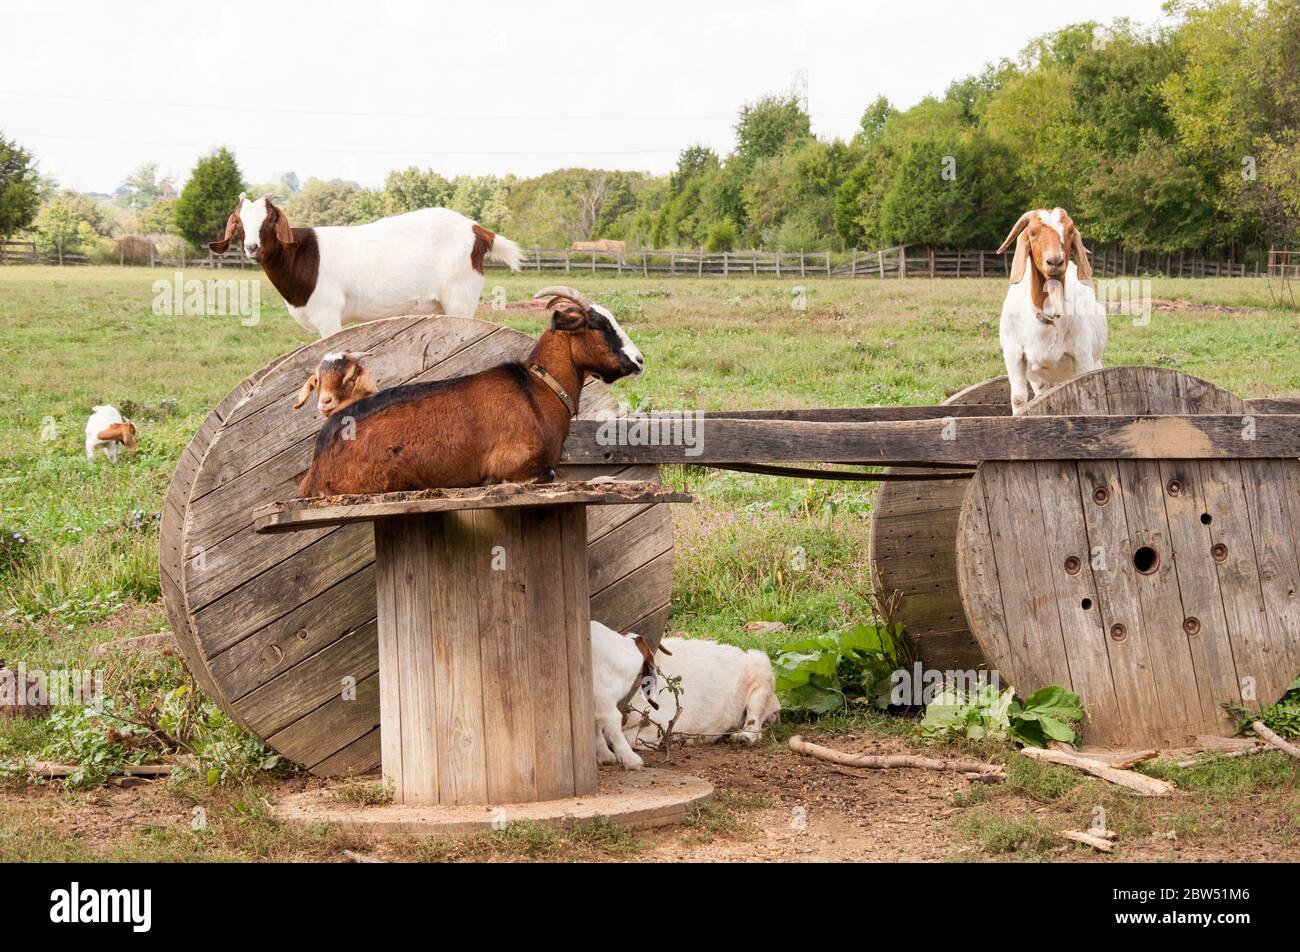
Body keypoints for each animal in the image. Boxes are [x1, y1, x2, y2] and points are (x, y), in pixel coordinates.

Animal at [208, 194, 524, 339]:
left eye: (271, 219)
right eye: (238, 223)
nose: (252, 247)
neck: (299, 256)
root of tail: (479, 230)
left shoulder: (328, 314)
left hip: (460, 296)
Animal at [296, 286, 643, 496]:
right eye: (598, 325)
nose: (638, 361)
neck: (539, 390)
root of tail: (316, 465)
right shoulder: (515, 463)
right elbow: (546, 475)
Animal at [995, 207, 1108, 414]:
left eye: (1070, 231)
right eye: (1032, 233)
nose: (1055, 261)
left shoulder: (1083, 357)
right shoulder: (1014, 354)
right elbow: (1019, 399)